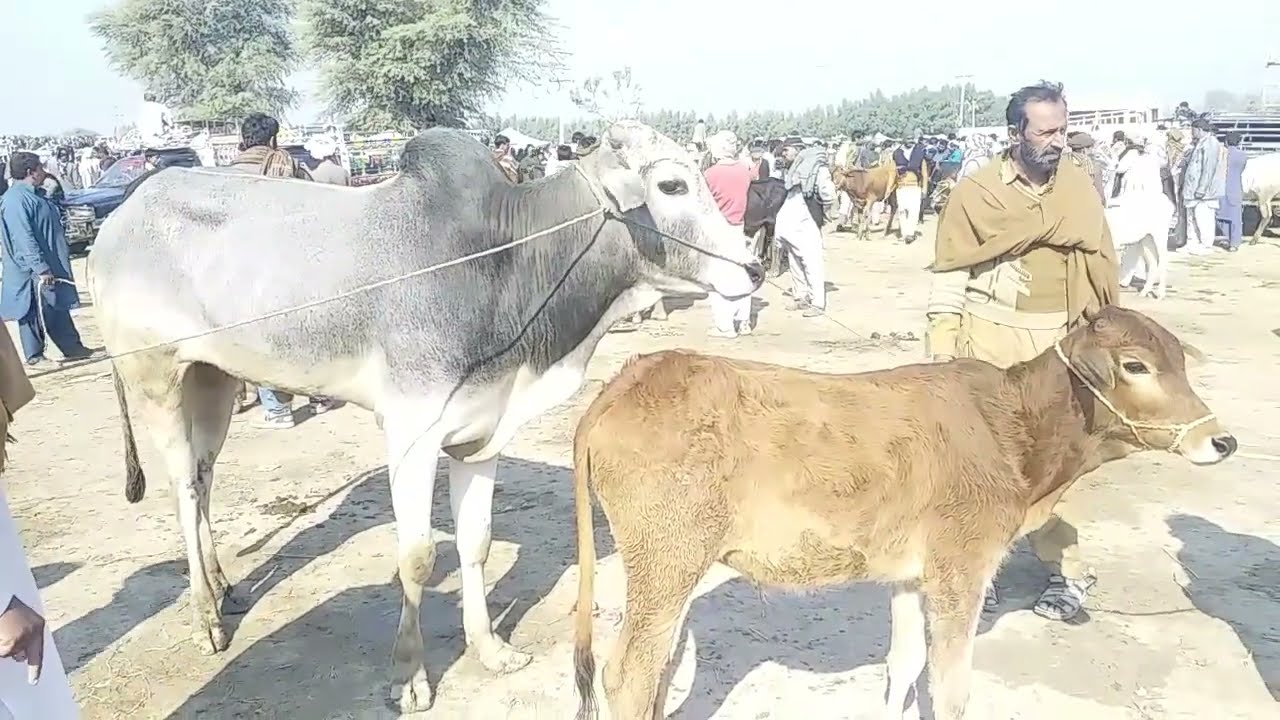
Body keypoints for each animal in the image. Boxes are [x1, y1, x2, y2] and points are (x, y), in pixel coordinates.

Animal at [87, 121, 764, 713]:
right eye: (672, 185)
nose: (754, 268)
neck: (502, 261)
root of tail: (120, 217)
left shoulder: (481, 435)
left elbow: (476, 542)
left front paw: (489, 648)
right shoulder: (412, 432)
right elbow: (417, 558)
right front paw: (409, 677)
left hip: (214, 380)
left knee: (204, 479)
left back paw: (224, 585)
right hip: (155, 380)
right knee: (182, 487)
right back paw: (204, 612)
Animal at [570, 305, 1235, 720]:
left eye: (1179, 361)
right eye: (1135, 365)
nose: (1221, 441)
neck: (1011, 427)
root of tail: (633, 376)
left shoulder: (913, 578)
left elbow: (904, 666)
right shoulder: (961, 573)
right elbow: (951, 686)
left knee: (657, 668)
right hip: (667, 562)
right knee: (628, 676)